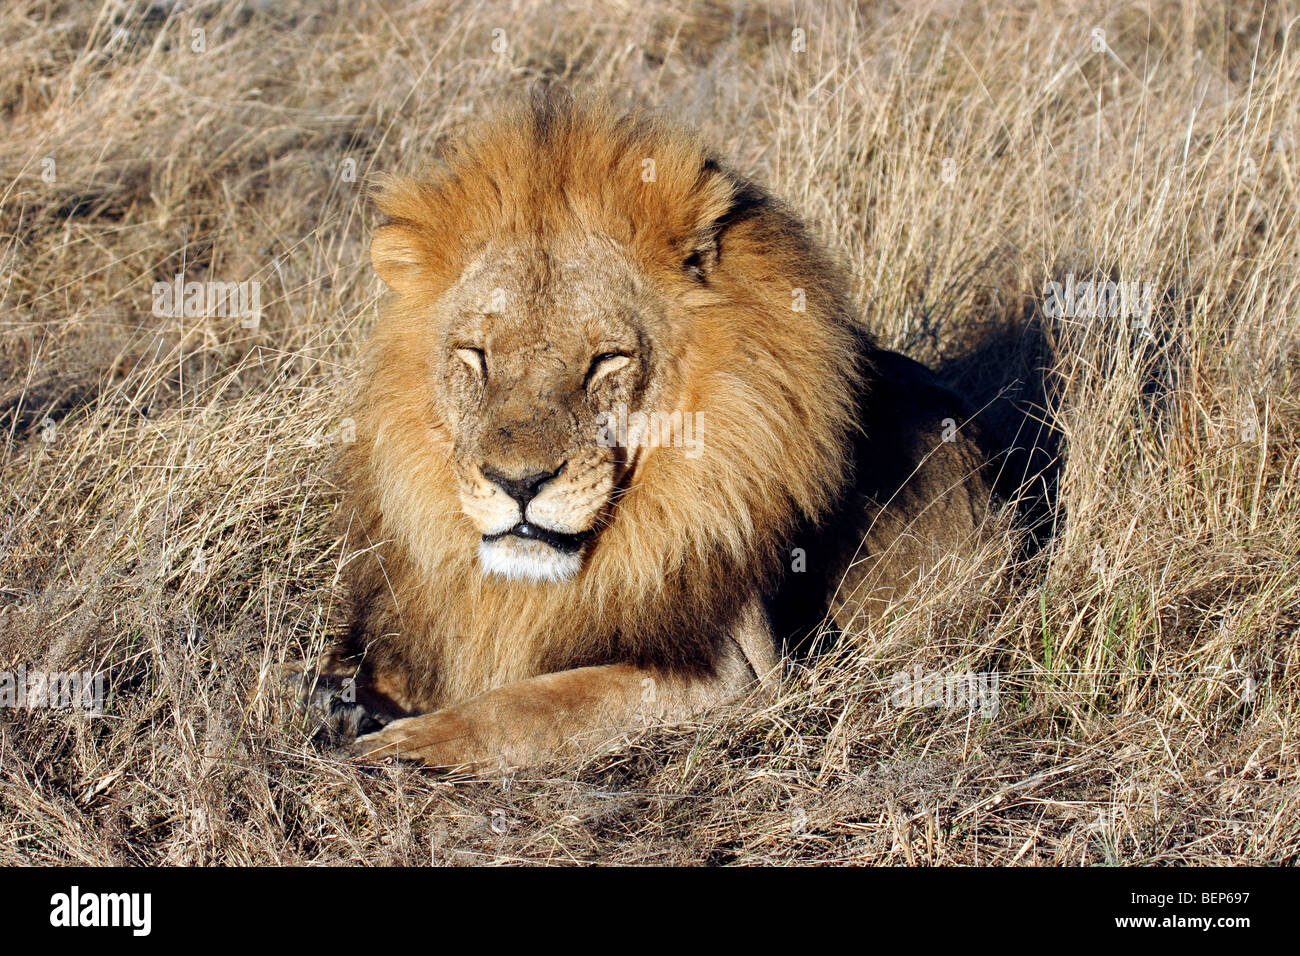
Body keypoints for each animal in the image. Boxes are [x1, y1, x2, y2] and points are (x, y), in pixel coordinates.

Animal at [325, 88, 1000, 770]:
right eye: (475, 356)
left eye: (608, 360)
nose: (519, 485)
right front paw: (340, 700)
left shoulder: (743, 677)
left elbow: (535, 704)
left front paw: (400, 746)